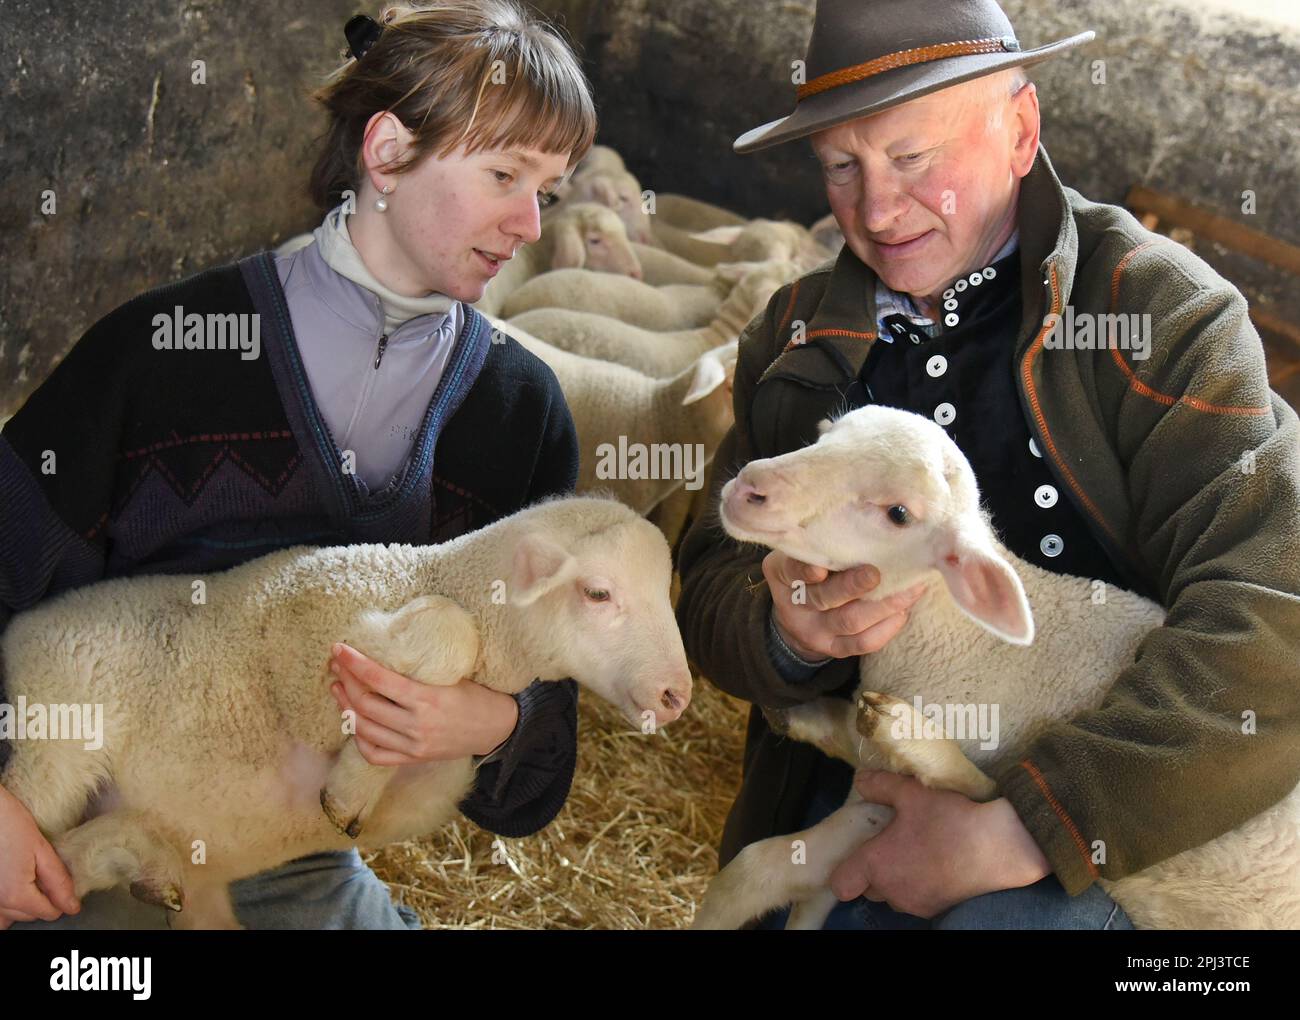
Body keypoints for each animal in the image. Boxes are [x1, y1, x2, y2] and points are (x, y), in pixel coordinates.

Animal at [1, 496, 693, 929]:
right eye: (598, 593)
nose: (677, 696)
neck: (432, 576)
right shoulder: (316, 638)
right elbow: (451, 632)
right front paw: (348, 791)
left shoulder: (438, 779)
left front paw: (354, 785)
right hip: (55, 738)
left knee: (79, 861)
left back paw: (143, 863)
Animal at [692, 403, 1300, 930]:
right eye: (824, 434)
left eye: (898, 514)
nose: (747, 488)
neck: (955, 639)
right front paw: (810, 716)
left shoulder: (888, 809)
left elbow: (758, 871)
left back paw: (914, 739)